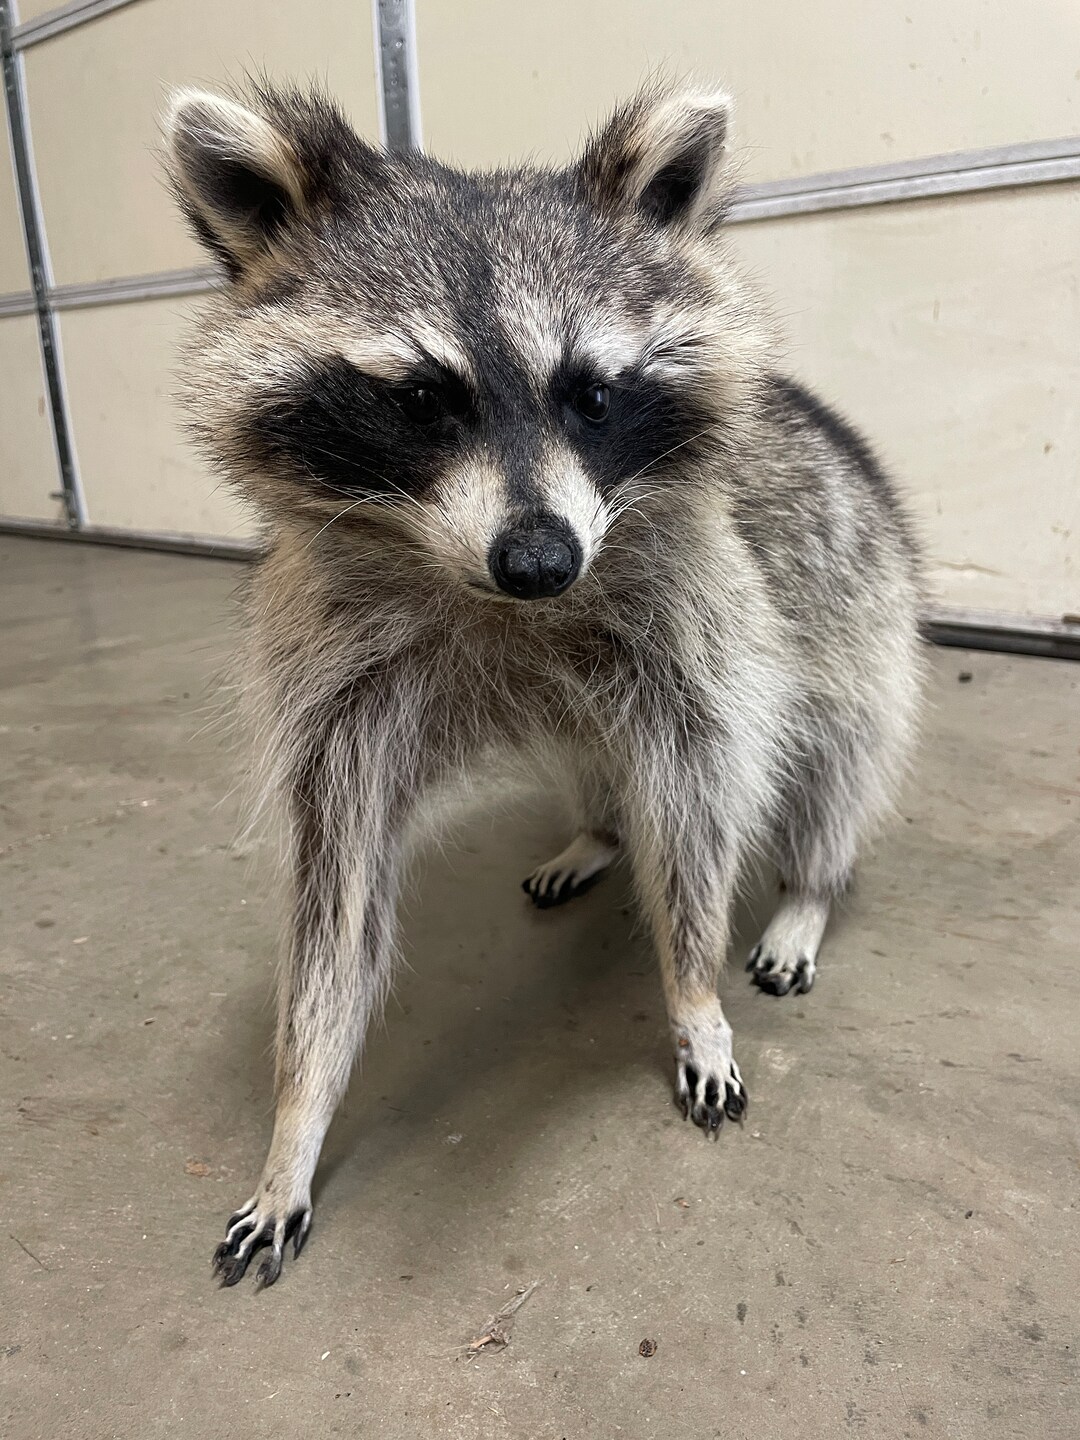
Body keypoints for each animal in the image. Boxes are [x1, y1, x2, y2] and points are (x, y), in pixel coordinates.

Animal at [164, 80, 924, 1288]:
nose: (539, 560)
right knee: (597, 762)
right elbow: (336, 896)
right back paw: (600, 829)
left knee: (838, 766)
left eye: (594, 396)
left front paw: (693, 993)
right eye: (423, 400)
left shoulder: (703, 628)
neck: (498, 600)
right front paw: (298, 1114)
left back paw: (811, 888)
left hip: (857, 607)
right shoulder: (331, 671)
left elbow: (702, 809)